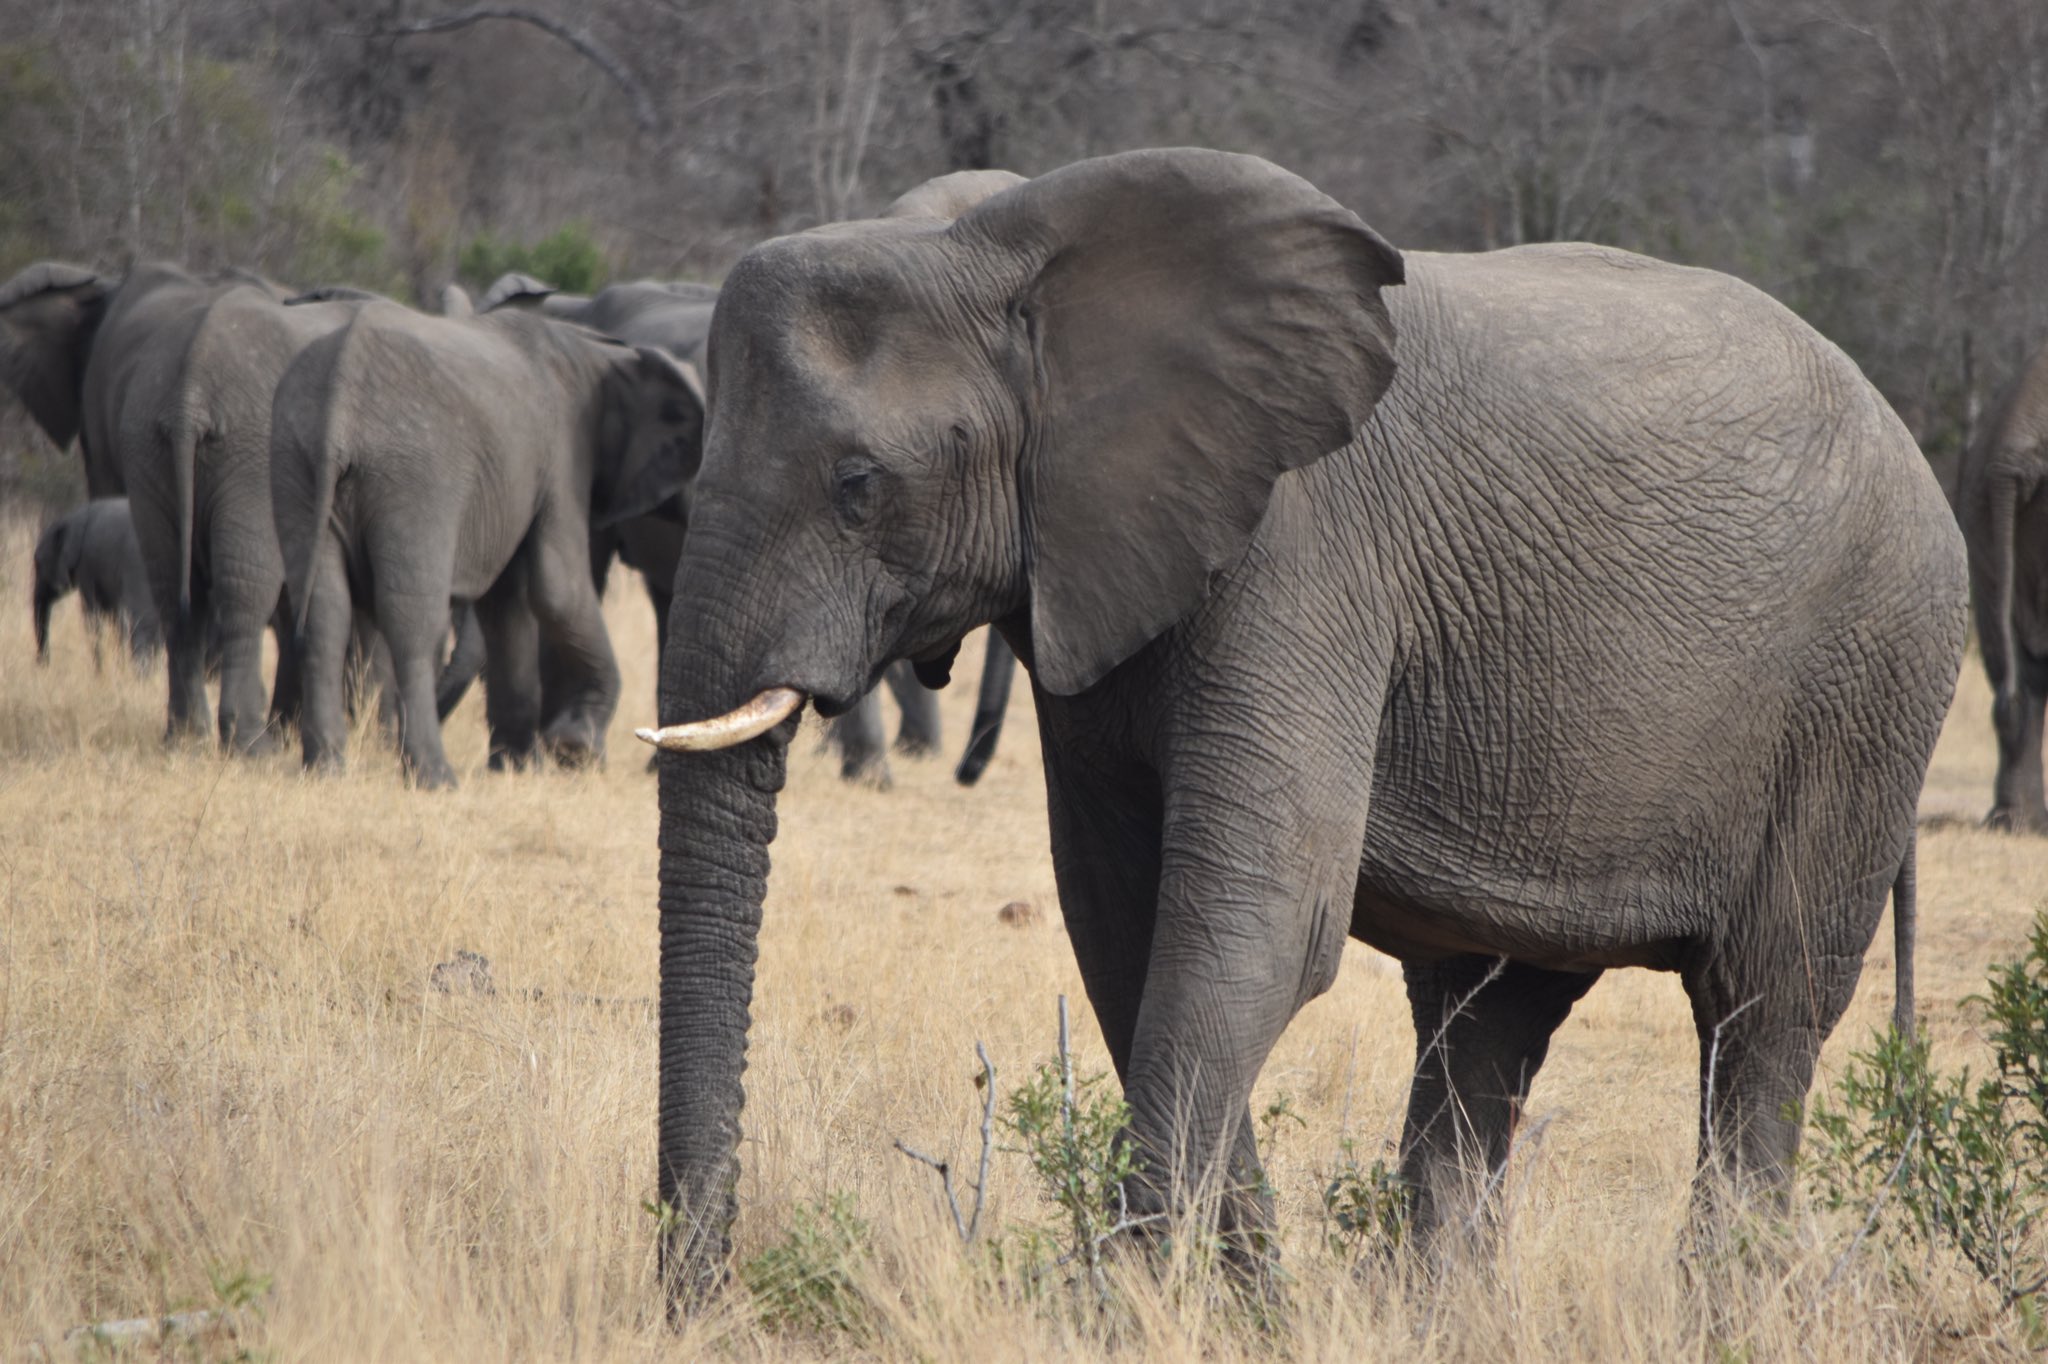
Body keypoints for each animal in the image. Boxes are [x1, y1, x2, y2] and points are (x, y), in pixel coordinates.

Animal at [33, 497, 161, 668]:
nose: (43, 664)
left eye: (38, 563)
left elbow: (92, 613)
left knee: (141, 622)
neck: (69, 520)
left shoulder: (86, 564)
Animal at [269, 299, 706, 788]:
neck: (608, 351)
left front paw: (518, 768)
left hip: (295, 464)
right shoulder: (562, 453)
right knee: (412, 621)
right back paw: (436, 779)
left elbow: (508, 603)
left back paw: (325, 771)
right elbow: (558, 589)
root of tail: (339, 395)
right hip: (413, 476)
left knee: (325, 614)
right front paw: (576, 751)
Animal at [634, 149, 1966, 1289]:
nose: (700, 1297)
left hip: (1868, 675)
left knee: (1760, 1005)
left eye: (858, 487)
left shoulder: (1297, 554)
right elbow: (1124, 921)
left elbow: (1256, 918)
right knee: (1481, 1023)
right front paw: (1244, 1305)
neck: (1007, 240)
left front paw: (1129, 1310)